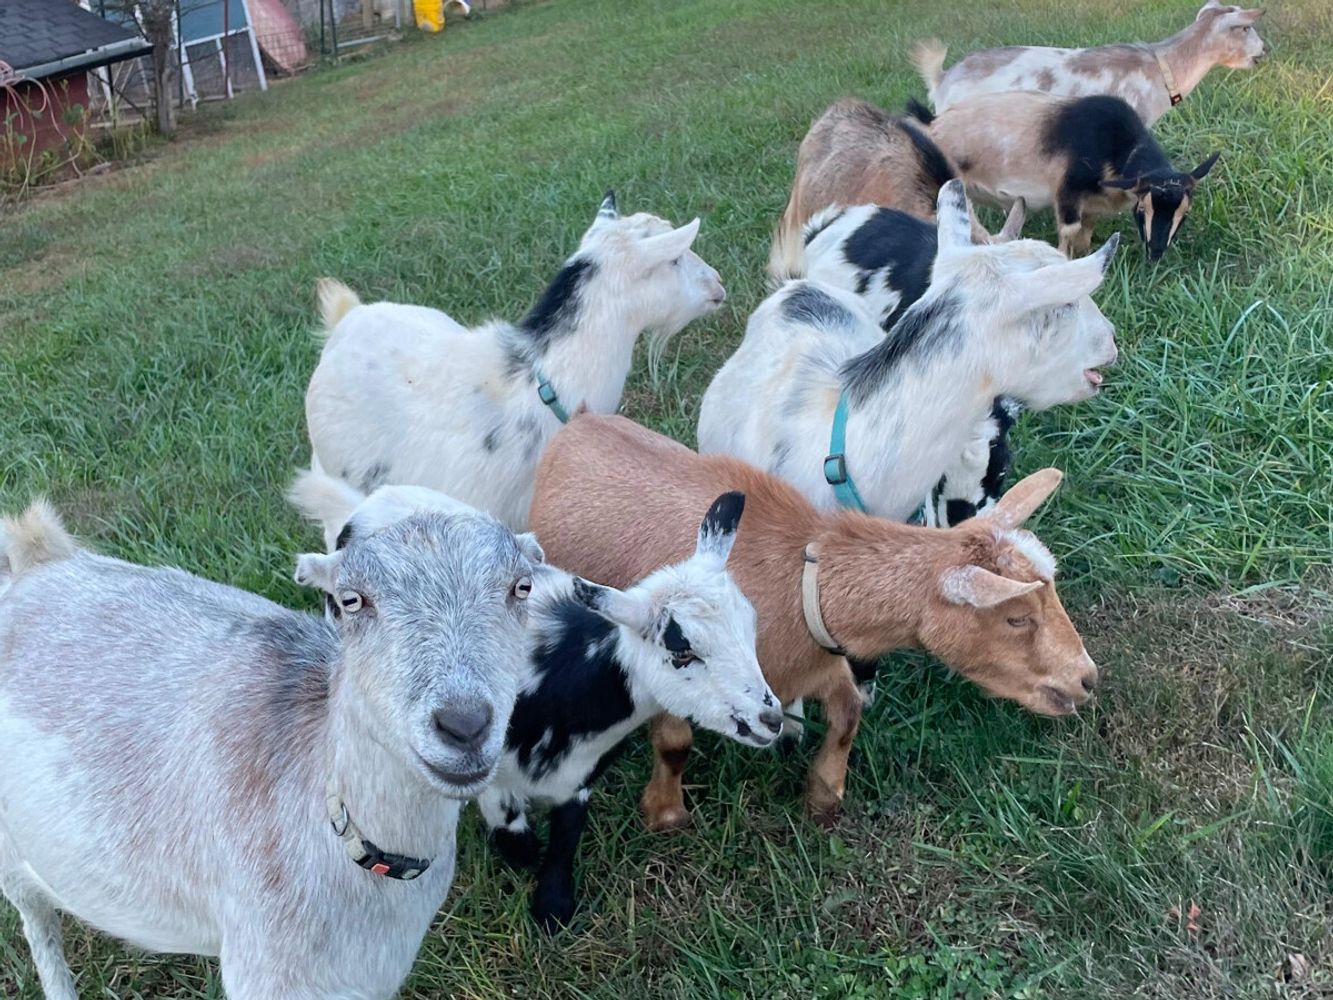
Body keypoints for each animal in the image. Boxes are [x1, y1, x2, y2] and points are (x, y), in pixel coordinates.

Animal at [0, 501, 537, 1000]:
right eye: (350, 600)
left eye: (522, 588)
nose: (464, 725)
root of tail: (34, 559)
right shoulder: (265, 970)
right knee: (37, 919)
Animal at [288, 472, 780, 932]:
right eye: (681, 650)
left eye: (751, 626)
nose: (771, 719)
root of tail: (367, 502)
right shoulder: (488, 767)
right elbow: (513, 832)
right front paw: (528, 867)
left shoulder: (583, 772)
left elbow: (568, 831)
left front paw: (553, 904)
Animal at [530, 413, 1099, 827]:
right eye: (1017, 618)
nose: (1087, 679)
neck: (800, 585)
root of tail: (579, 420)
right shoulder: (675, 673)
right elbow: (674, 744)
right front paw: (665, 815)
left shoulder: (820, 662)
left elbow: (848, 716)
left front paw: (823, 796)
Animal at [908, 95, 1220, 260]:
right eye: (1143, 209)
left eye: (1185, 213)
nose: (1155, 252)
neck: (1117, 146)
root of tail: (930, 124)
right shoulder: (1068, 189)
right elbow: (1070, 229)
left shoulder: (1093, 201)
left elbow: (1086, 229)